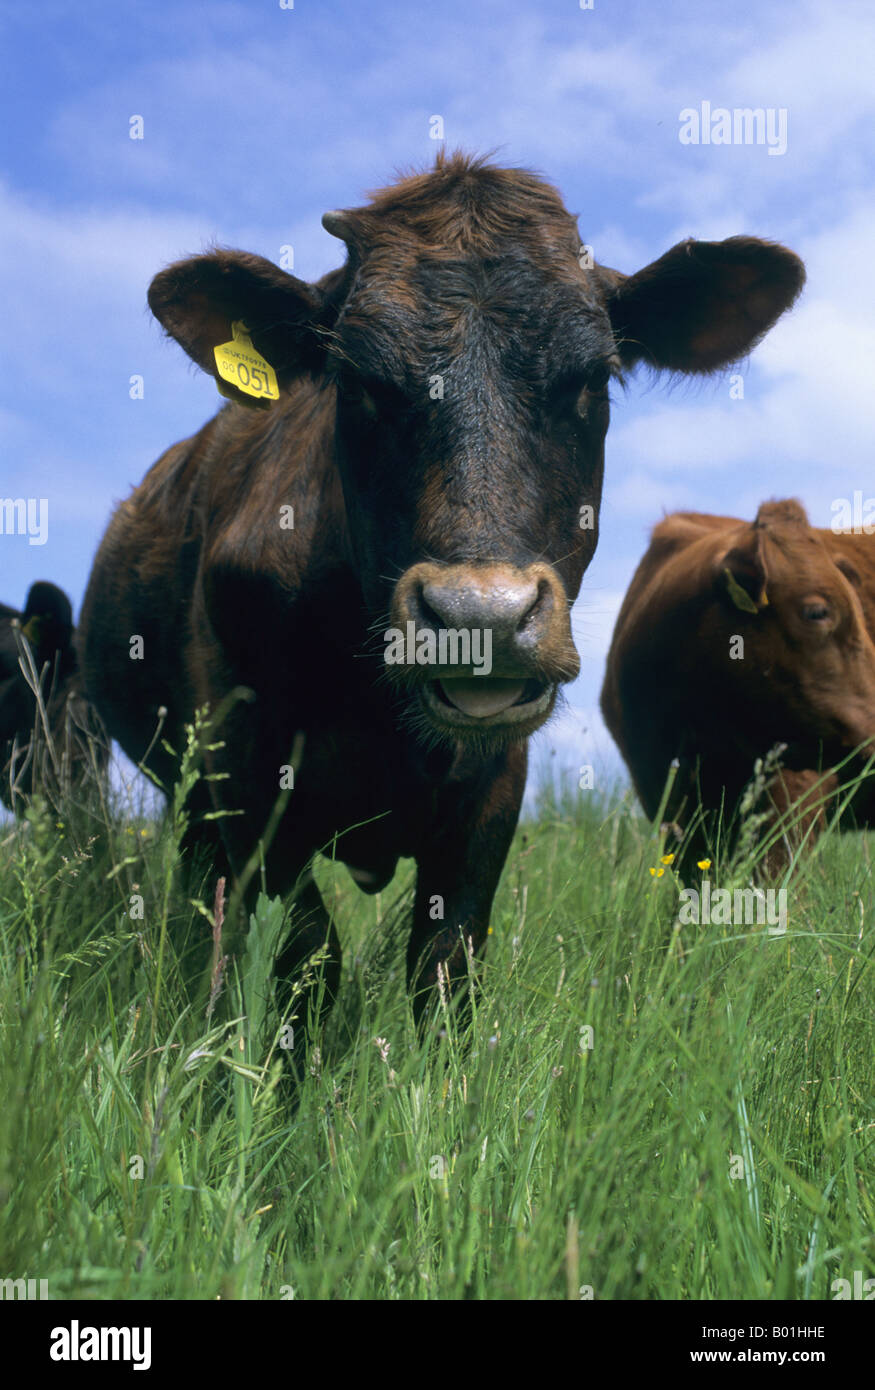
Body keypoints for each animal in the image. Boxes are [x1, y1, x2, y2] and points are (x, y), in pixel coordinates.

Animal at [80, 151, 805, 1033]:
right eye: (357, 380)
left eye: (591, 377)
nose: (480, 617)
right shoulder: (239, 767)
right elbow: (305, 951)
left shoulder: (492, 784)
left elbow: (446, 958)